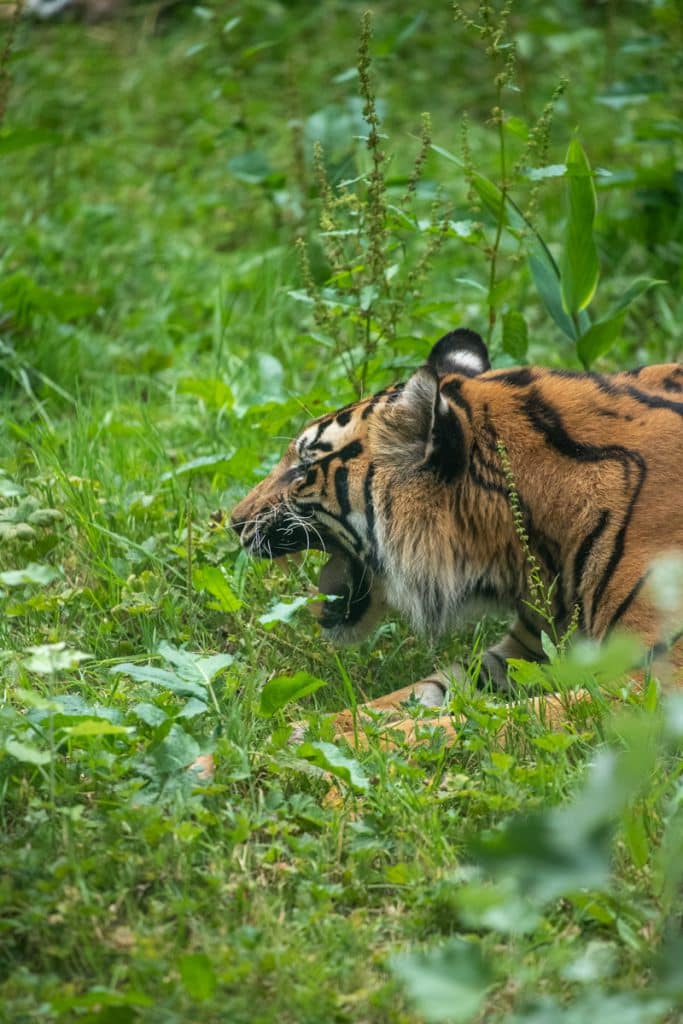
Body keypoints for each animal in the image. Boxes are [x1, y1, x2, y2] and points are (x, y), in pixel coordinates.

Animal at [231, 328, 683, 743]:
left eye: (303, 469)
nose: (234, 522)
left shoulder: (651, 687)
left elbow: (495, 721)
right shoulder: (522, 655)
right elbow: (418, 694)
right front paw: (302, 733)